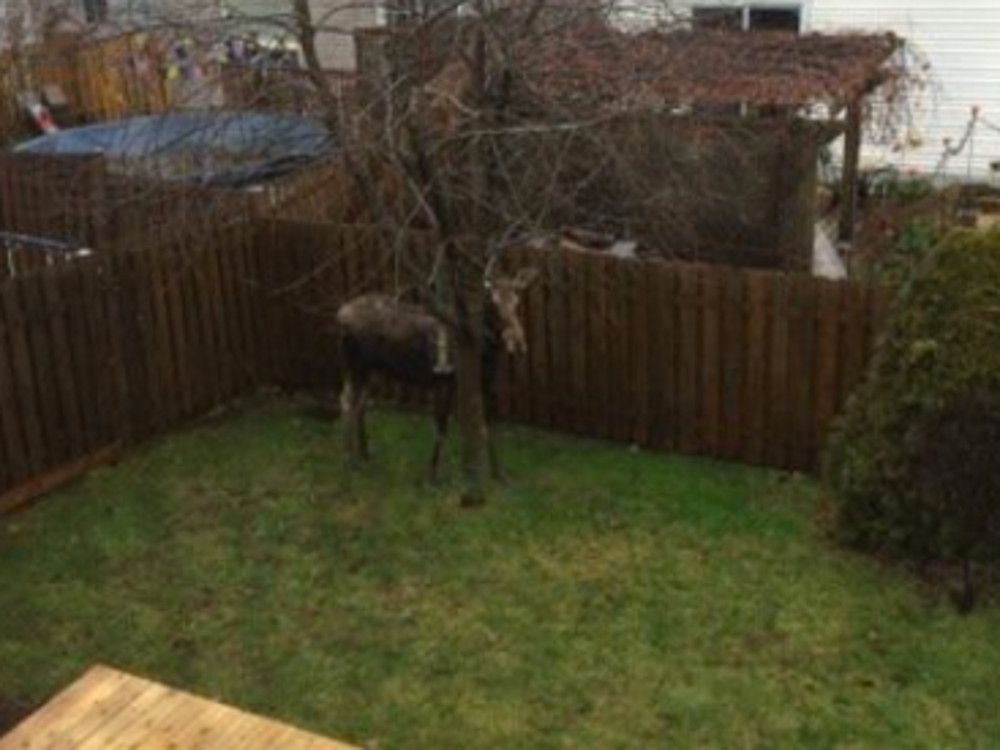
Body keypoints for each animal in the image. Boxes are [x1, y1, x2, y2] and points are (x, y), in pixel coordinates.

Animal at [335, 264, 539, 481]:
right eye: (492, 303)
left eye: (517, 301)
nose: (518, 344)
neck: (486, 354)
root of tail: (340, 314)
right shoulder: (444, 382)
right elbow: (442, 425)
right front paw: (434, 473)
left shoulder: (486, 385)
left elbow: (488, 426)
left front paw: (499, 474)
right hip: (356, 365)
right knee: (347, 402)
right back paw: (349, 461)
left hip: (373, 370)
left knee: (360, 405)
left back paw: (364, 455)